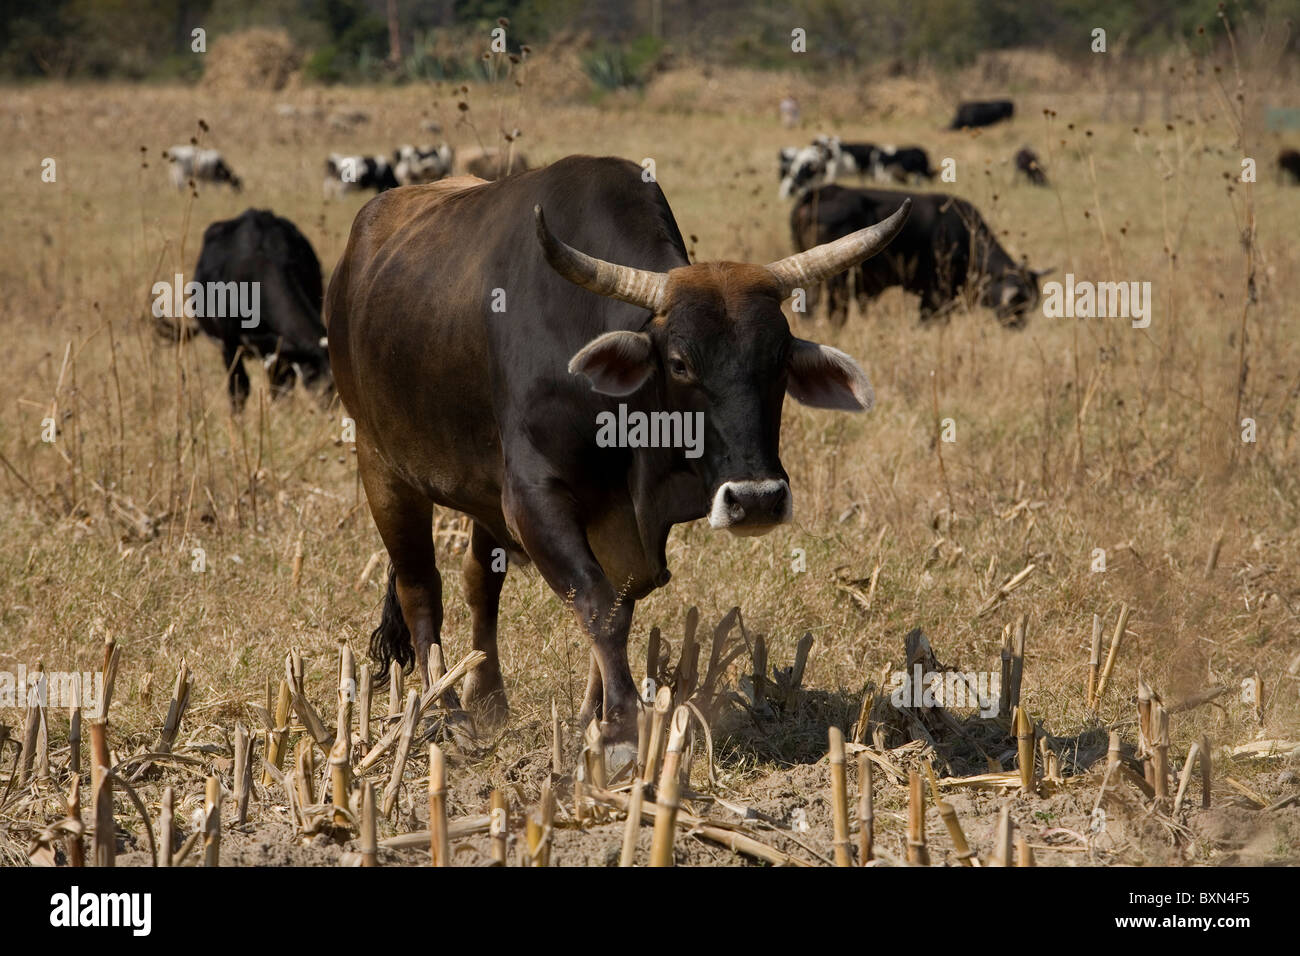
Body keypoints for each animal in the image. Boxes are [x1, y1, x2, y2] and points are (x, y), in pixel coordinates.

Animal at [155, 209, 330, 409]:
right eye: (315, 376)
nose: (331, 406)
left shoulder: (282, 350)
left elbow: (281, 390)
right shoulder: (230, 344)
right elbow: (239, 390)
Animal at [325, 156, 910, 744]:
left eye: (781, 360)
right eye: (680, 363)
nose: (757, 500)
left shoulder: (619, 520)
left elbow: (621, 605)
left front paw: (594, 713)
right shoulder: (534, 497)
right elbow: (596, 601)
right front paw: (624, 725)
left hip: (483, 492)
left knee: (479, 581)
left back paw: (487, 696)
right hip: (383, 468)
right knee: (421, 587)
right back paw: (444, 712)